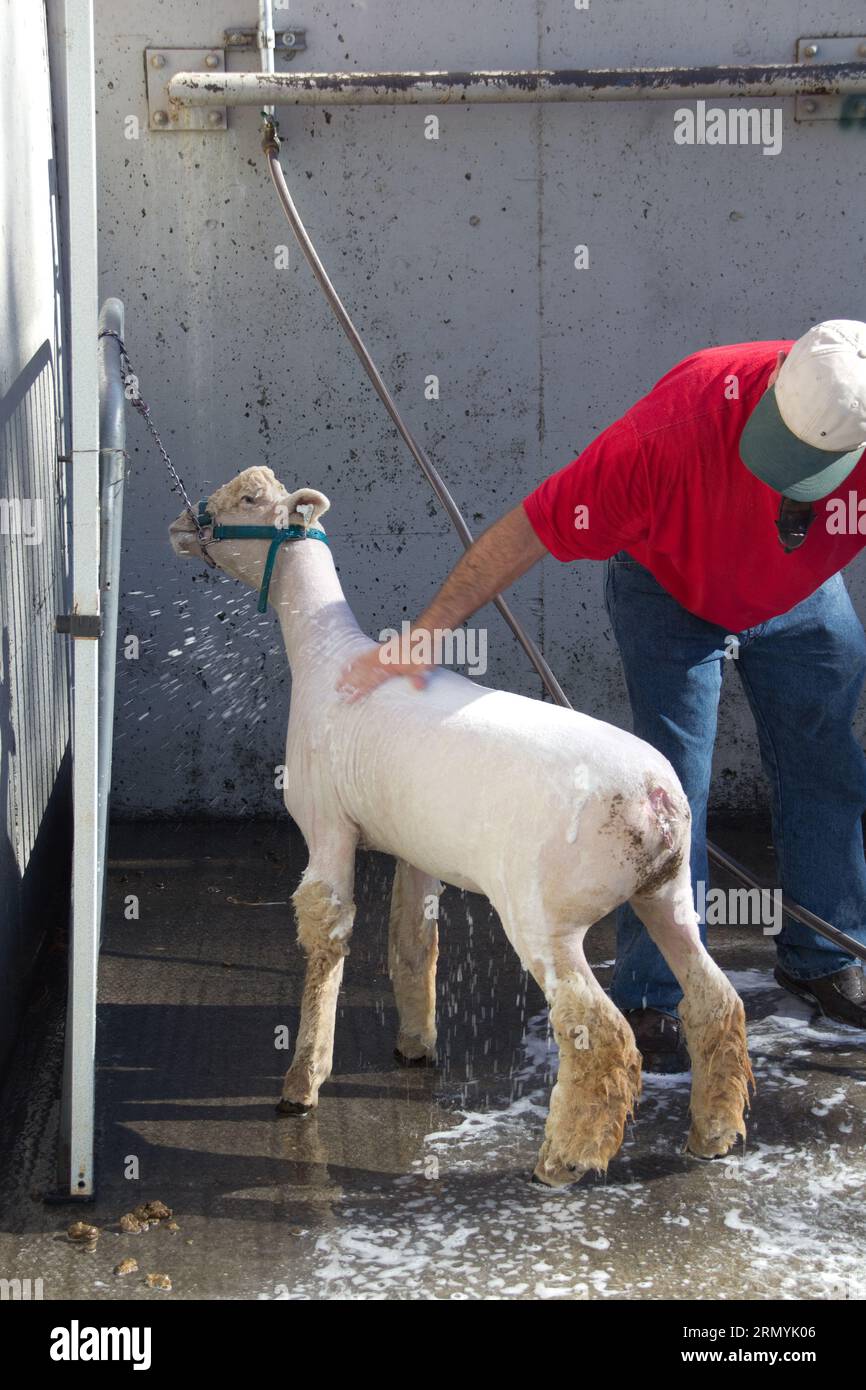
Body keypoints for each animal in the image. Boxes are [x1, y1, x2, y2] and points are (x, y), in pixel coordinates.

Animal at [170, 466, 753, 1186]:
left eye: (251, 499)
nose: (182, 525)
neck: (327, 655)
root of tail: (654, 799)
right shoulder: (415, 847)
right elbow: (413, 940)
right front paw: (415, 1044)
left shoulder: (327, 826)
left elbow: (327, 936)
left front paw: (302, 1082)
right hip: (668, 893)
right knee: (715, 1002)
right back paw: (715, 1132)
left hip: (546, 915)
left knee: (602, 1035)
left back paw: (564, 1160)